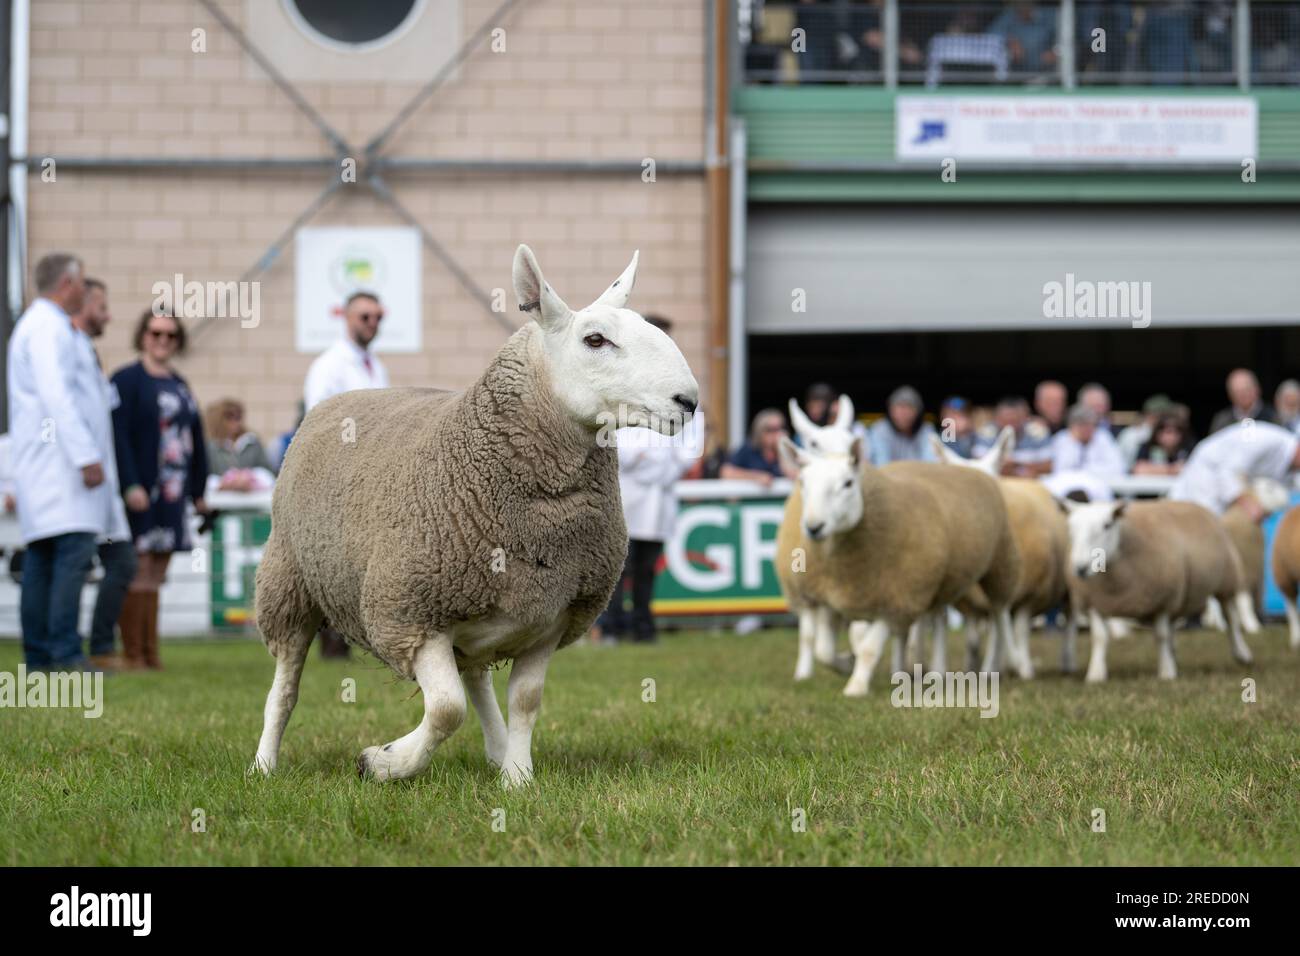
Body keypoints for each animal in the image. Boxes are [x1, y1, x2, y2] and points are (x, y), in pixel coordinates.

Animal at [251, 244, 699, 787]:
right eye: (595, 339)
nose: (688, 401)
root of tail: (332, 402)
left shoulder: (549, 617)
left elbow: (524, 701)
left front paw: (518, 778)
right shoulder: (409, 613)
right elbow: (446, 710)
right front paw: (382, 762)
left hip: (476, 611)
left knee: (477, 678)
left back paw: (498, 750)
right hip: (288, 581)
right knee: (285, 687)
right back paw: (263, 764)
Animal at [775, 431, 1021, 696]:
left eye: (848, 483)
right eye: (802, 482)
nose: (813, 527)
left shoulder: (895, 597)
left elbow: (869, 648)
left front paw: (856, 687)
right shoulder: (829, 598)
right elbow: (824, 651)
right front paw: (846, 663)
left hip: (997, 565)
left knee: (999, 615)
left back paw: (1001, 666)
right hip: (937, 582)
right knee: (935, 620)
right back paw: (916, 671)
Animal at [929, 430, 1074, 677]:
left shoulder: (1019, 593)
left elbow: (1008, 632)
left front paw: (999, 669)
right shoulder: (958, 595)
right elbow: (960, 636)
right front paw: (945, 671)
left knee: (1065, 624)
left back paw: (1061, 663)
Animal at [1061, 499, 1252, 682]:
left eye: (1107, 525)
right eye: (1070, 527)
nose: (1080, 568)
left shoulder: (1163, 601)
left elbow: (1161, 636)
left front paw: (1166, 672)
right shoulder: (1095, 603)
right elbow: (1099, 638)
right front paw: (1096, 674)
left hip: (1226, 580)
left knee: (1231, 618)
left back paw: (1242, 654)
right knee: (1175, 627)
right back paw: (1174, 655)